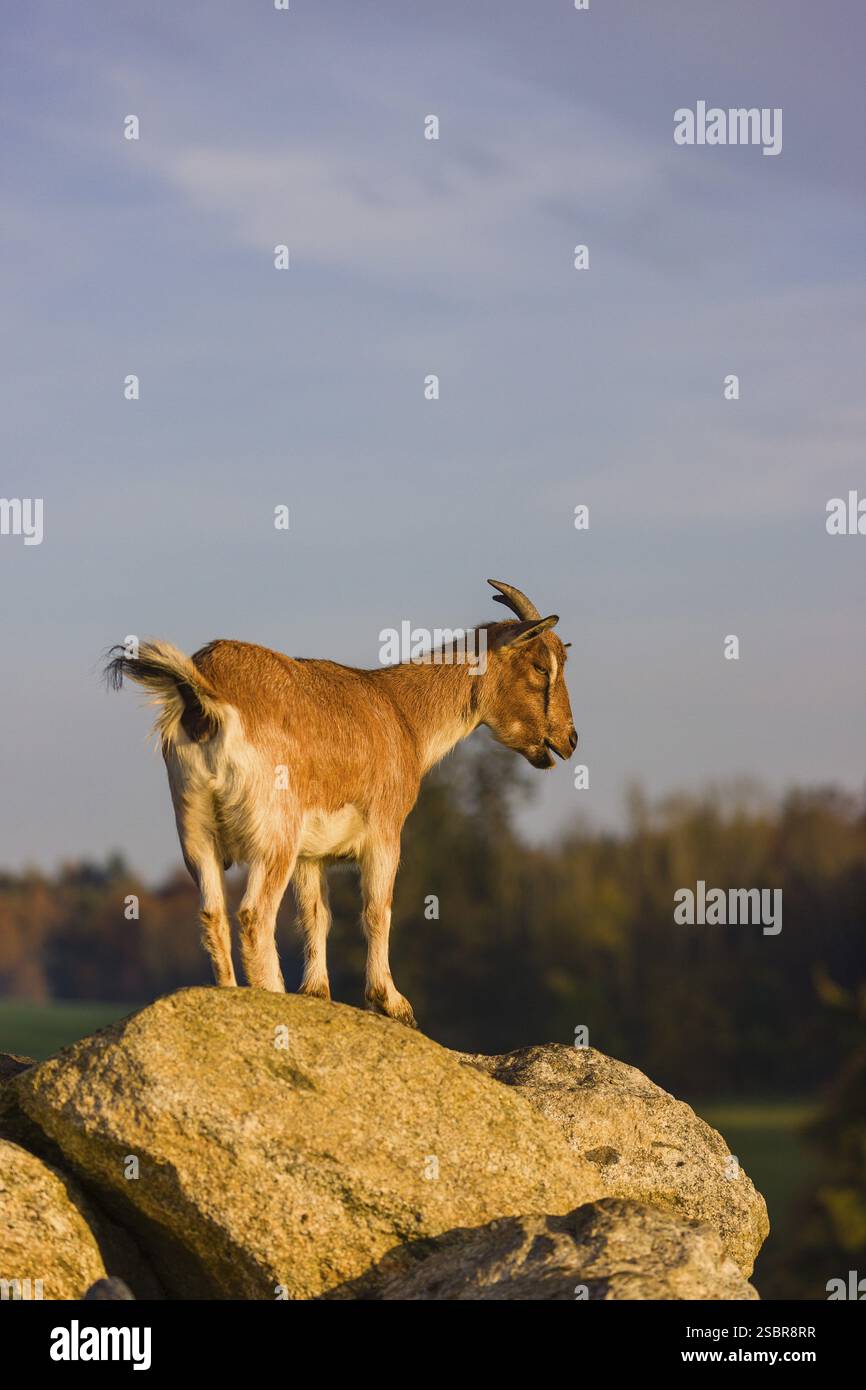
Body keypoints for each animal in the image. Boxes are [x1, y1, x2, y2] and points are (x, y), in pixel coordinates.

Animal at [106, 579, 577, 1026]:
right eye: (540, 666)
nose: (569, 739)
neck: (402, 716)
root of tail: (204, 694)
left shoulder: (310, 856)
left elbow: (317, 915)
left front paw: (317, 993)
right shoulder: (384, 832)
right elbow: (377, 910)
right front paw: (393, 1003)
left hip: (195, 827)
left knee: (212, 913)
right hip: (274, 832)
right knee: (255, 914)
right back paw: (271, 997)